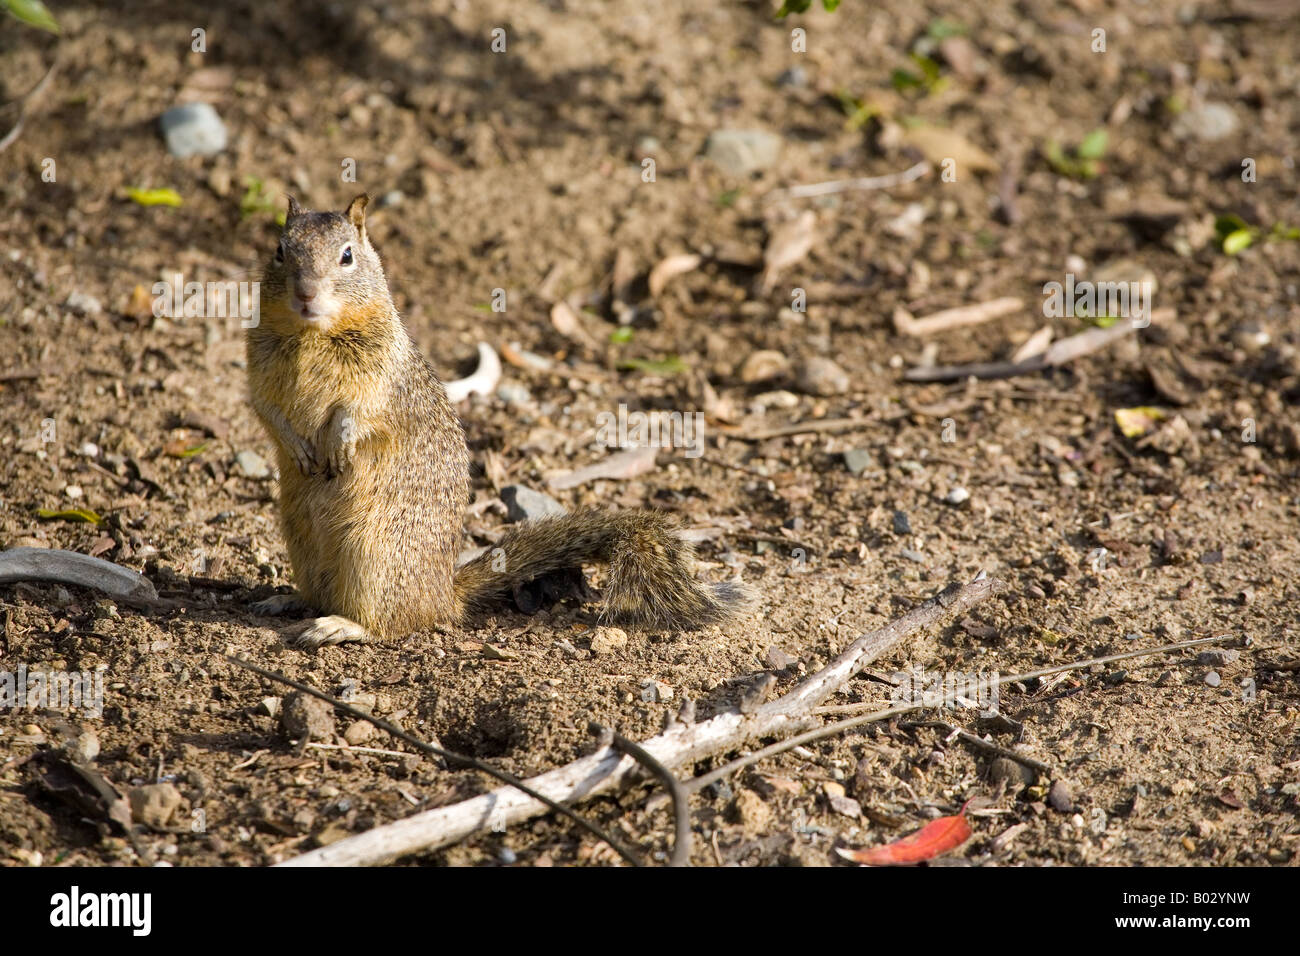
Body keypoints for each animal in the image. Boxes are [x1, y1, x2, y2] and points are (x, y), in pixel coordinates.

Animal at [246, 193, 750, 650]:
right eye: (280, 250)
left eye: (347, 255)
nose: (305, 294)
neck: (314, 333)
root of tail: (443, 593)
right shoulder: (259, 372)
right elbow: (266, 410)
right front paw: (296, 446)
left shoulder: (380, 377)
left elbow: (359, 411)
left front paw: (339, 440)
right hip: (302, 543)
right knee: (321, 593)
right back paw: (287, 601)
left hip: (375, 558)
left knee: (395, 623)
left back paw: (341, 625)